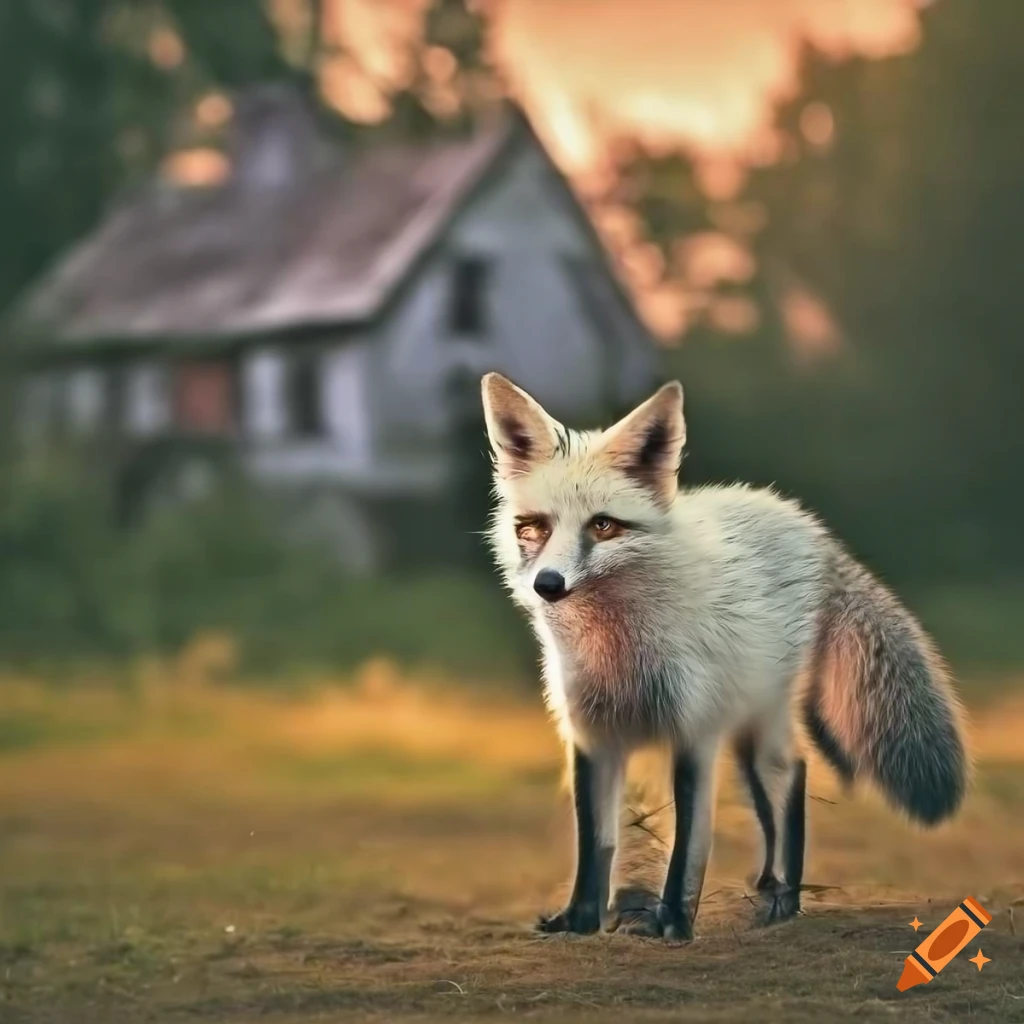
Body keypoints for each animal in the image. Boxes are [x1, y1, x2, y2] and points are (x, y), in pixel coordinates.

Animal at [480, 371, 969, 941]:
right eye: (532, 528)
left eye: (603, 526)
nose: (548, 585)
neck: (618, 655)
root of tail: (806, 523)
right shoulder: (592, 736)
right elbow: (596, 843)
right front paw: (581, 922)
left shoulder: (695, 734)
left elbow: (689, 847)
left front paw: (674, 923)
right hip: (742, 741)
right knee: (782, 788)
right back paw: (771, 889)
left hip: (758, 729)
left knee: (793, 774)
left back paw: (784, 900)